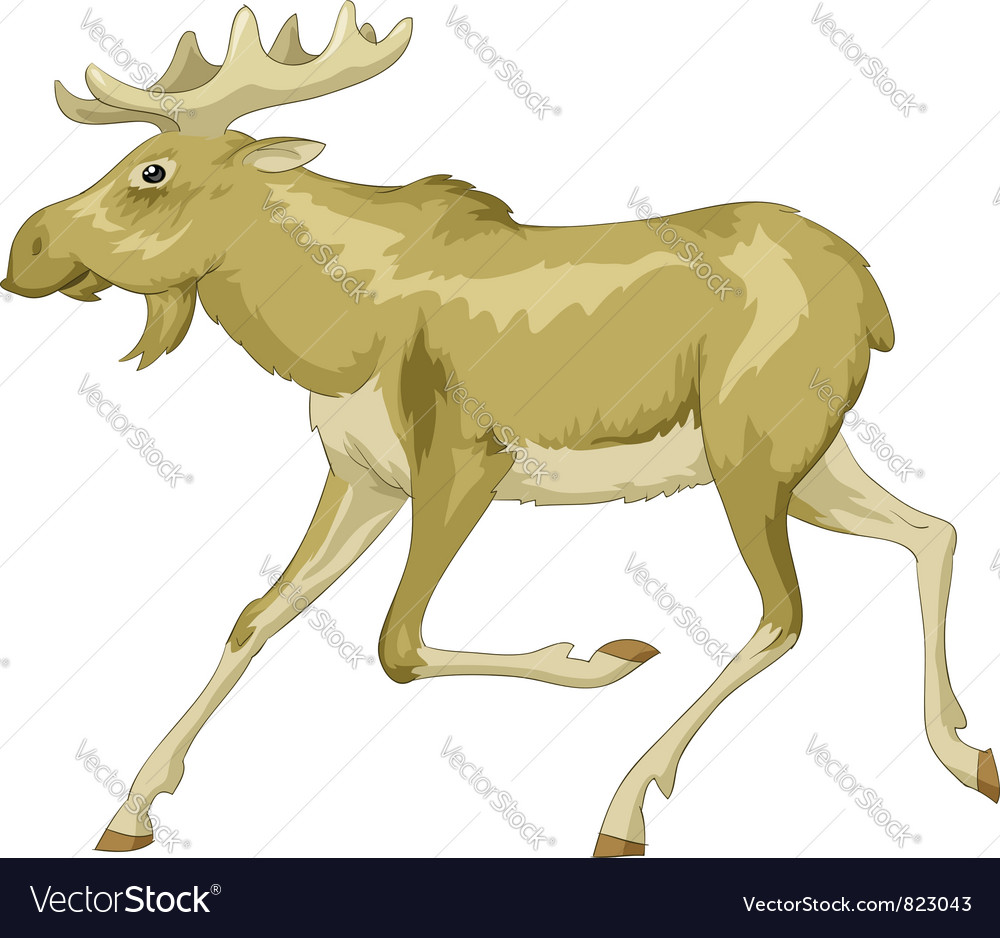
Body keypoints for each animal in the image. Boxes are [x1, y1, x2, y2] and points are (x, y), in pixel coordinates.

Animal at [4, 2, 996, 858]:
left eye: (152, 170)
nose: (24, 249)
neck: (332, 329)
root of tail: (872, 295)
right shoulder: (363, 477)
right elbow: (259, 615)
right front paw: (129, 810)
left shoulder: (464, 460)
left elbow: (397, 645)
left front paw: (603, 658)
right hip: (805, 455)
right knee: (930, 532)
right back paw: (965, 753)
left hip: (749, 451)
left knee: (784, 612)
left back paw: (624, 810)